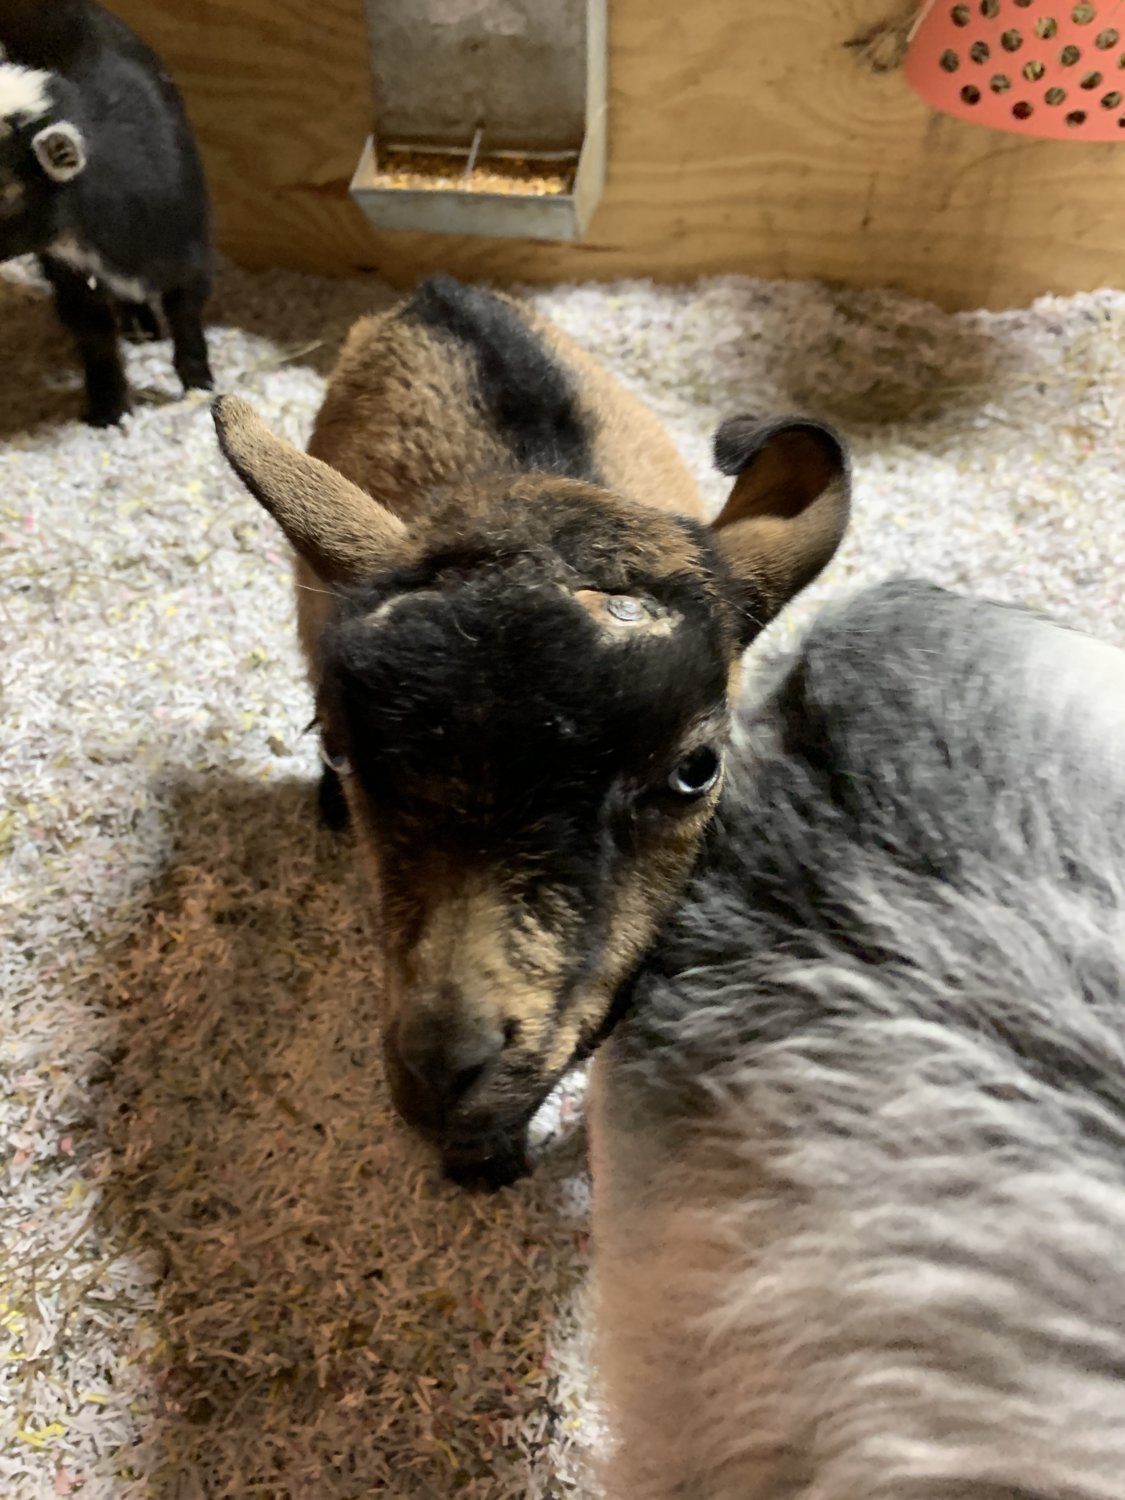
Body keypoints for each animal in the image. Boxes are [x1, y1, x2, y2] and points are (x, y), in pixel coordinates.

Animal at [0, 0, 212, 427]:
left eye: (5, 191)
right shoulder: (68, 276)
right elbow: (94, 336)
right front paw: (109, 409)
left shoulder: (189, 256)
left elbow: (186, 317)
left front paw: (200, 385)